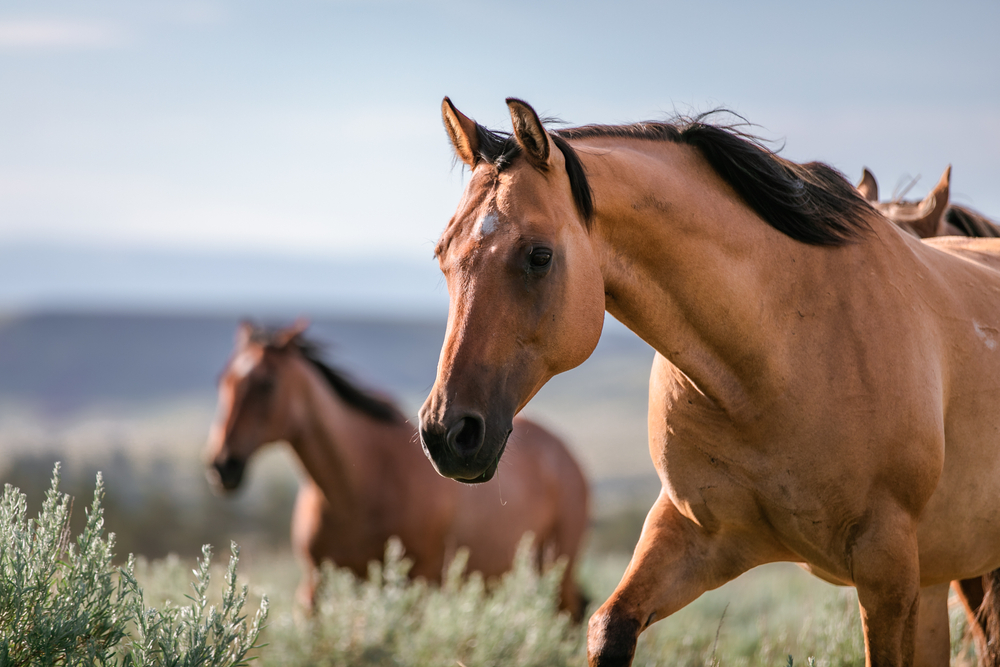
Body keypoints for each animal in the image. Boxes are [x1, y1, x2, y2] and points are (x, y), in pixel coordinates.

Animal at [205, 321, 589, 619]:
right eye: (223, 380)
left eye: (266, 383)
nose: (222, 465)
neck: (360, 486)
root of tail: (565, 453)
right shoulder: (313, 588)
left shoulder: (414, 585)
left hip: (558, 569)